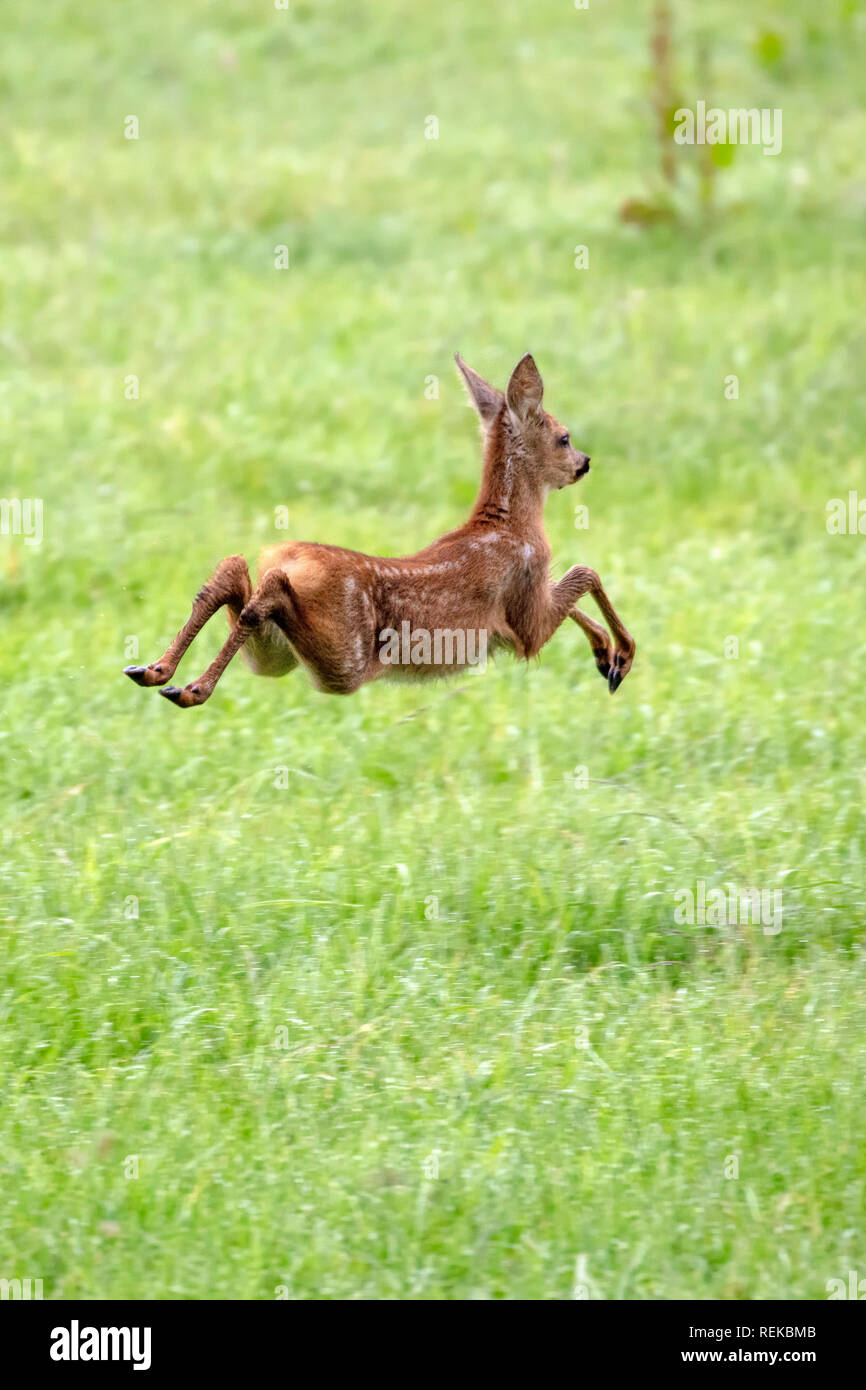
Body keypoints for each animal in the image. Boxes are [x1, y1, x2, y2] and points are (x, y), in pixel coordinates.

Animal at [123, 353, 635, 708]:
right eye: (564, 437)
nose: (585, 463)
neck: (513, 525)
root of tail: (288, 557)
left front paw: (604, 656)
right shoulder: (526, 619)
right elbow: (583, 572)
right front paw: (622, 658)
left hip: (275, 656)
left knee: (232, 577)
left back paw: (157, 674)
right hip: (343, 657)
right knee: (265, 592)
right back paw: (188, 688)